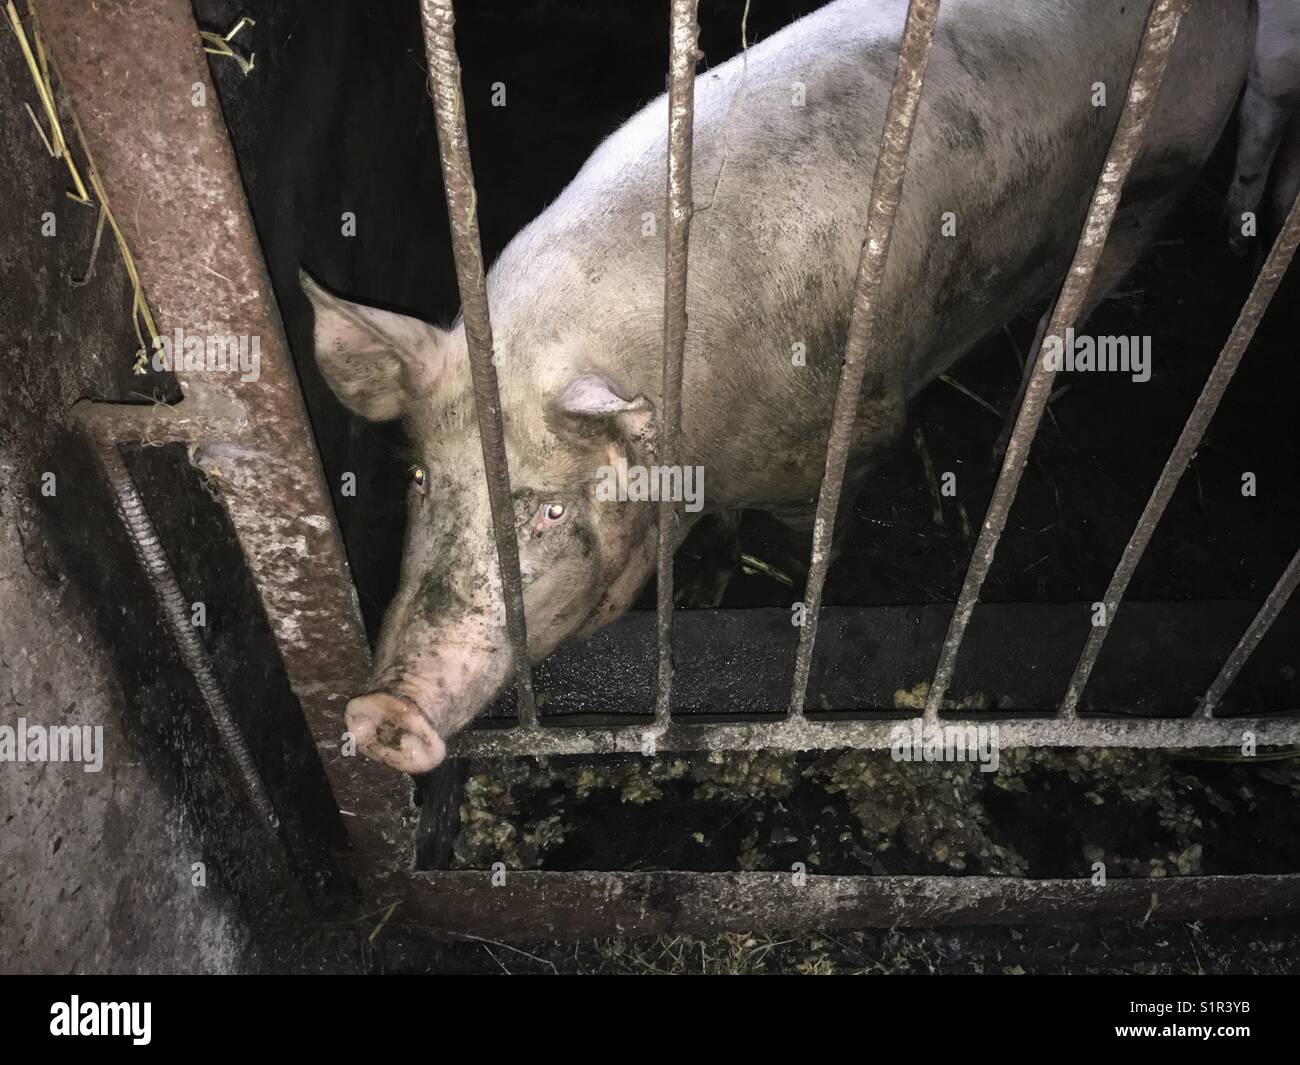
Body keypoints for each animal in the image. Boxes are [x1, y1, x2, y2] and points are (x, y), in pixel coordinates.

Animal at [303, 0, 1255, 774]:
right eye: (421, 479)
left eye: (550, 511)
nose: (383, 707)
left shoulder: (856, 434)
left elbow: (814, 536)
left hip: (1157, 177)